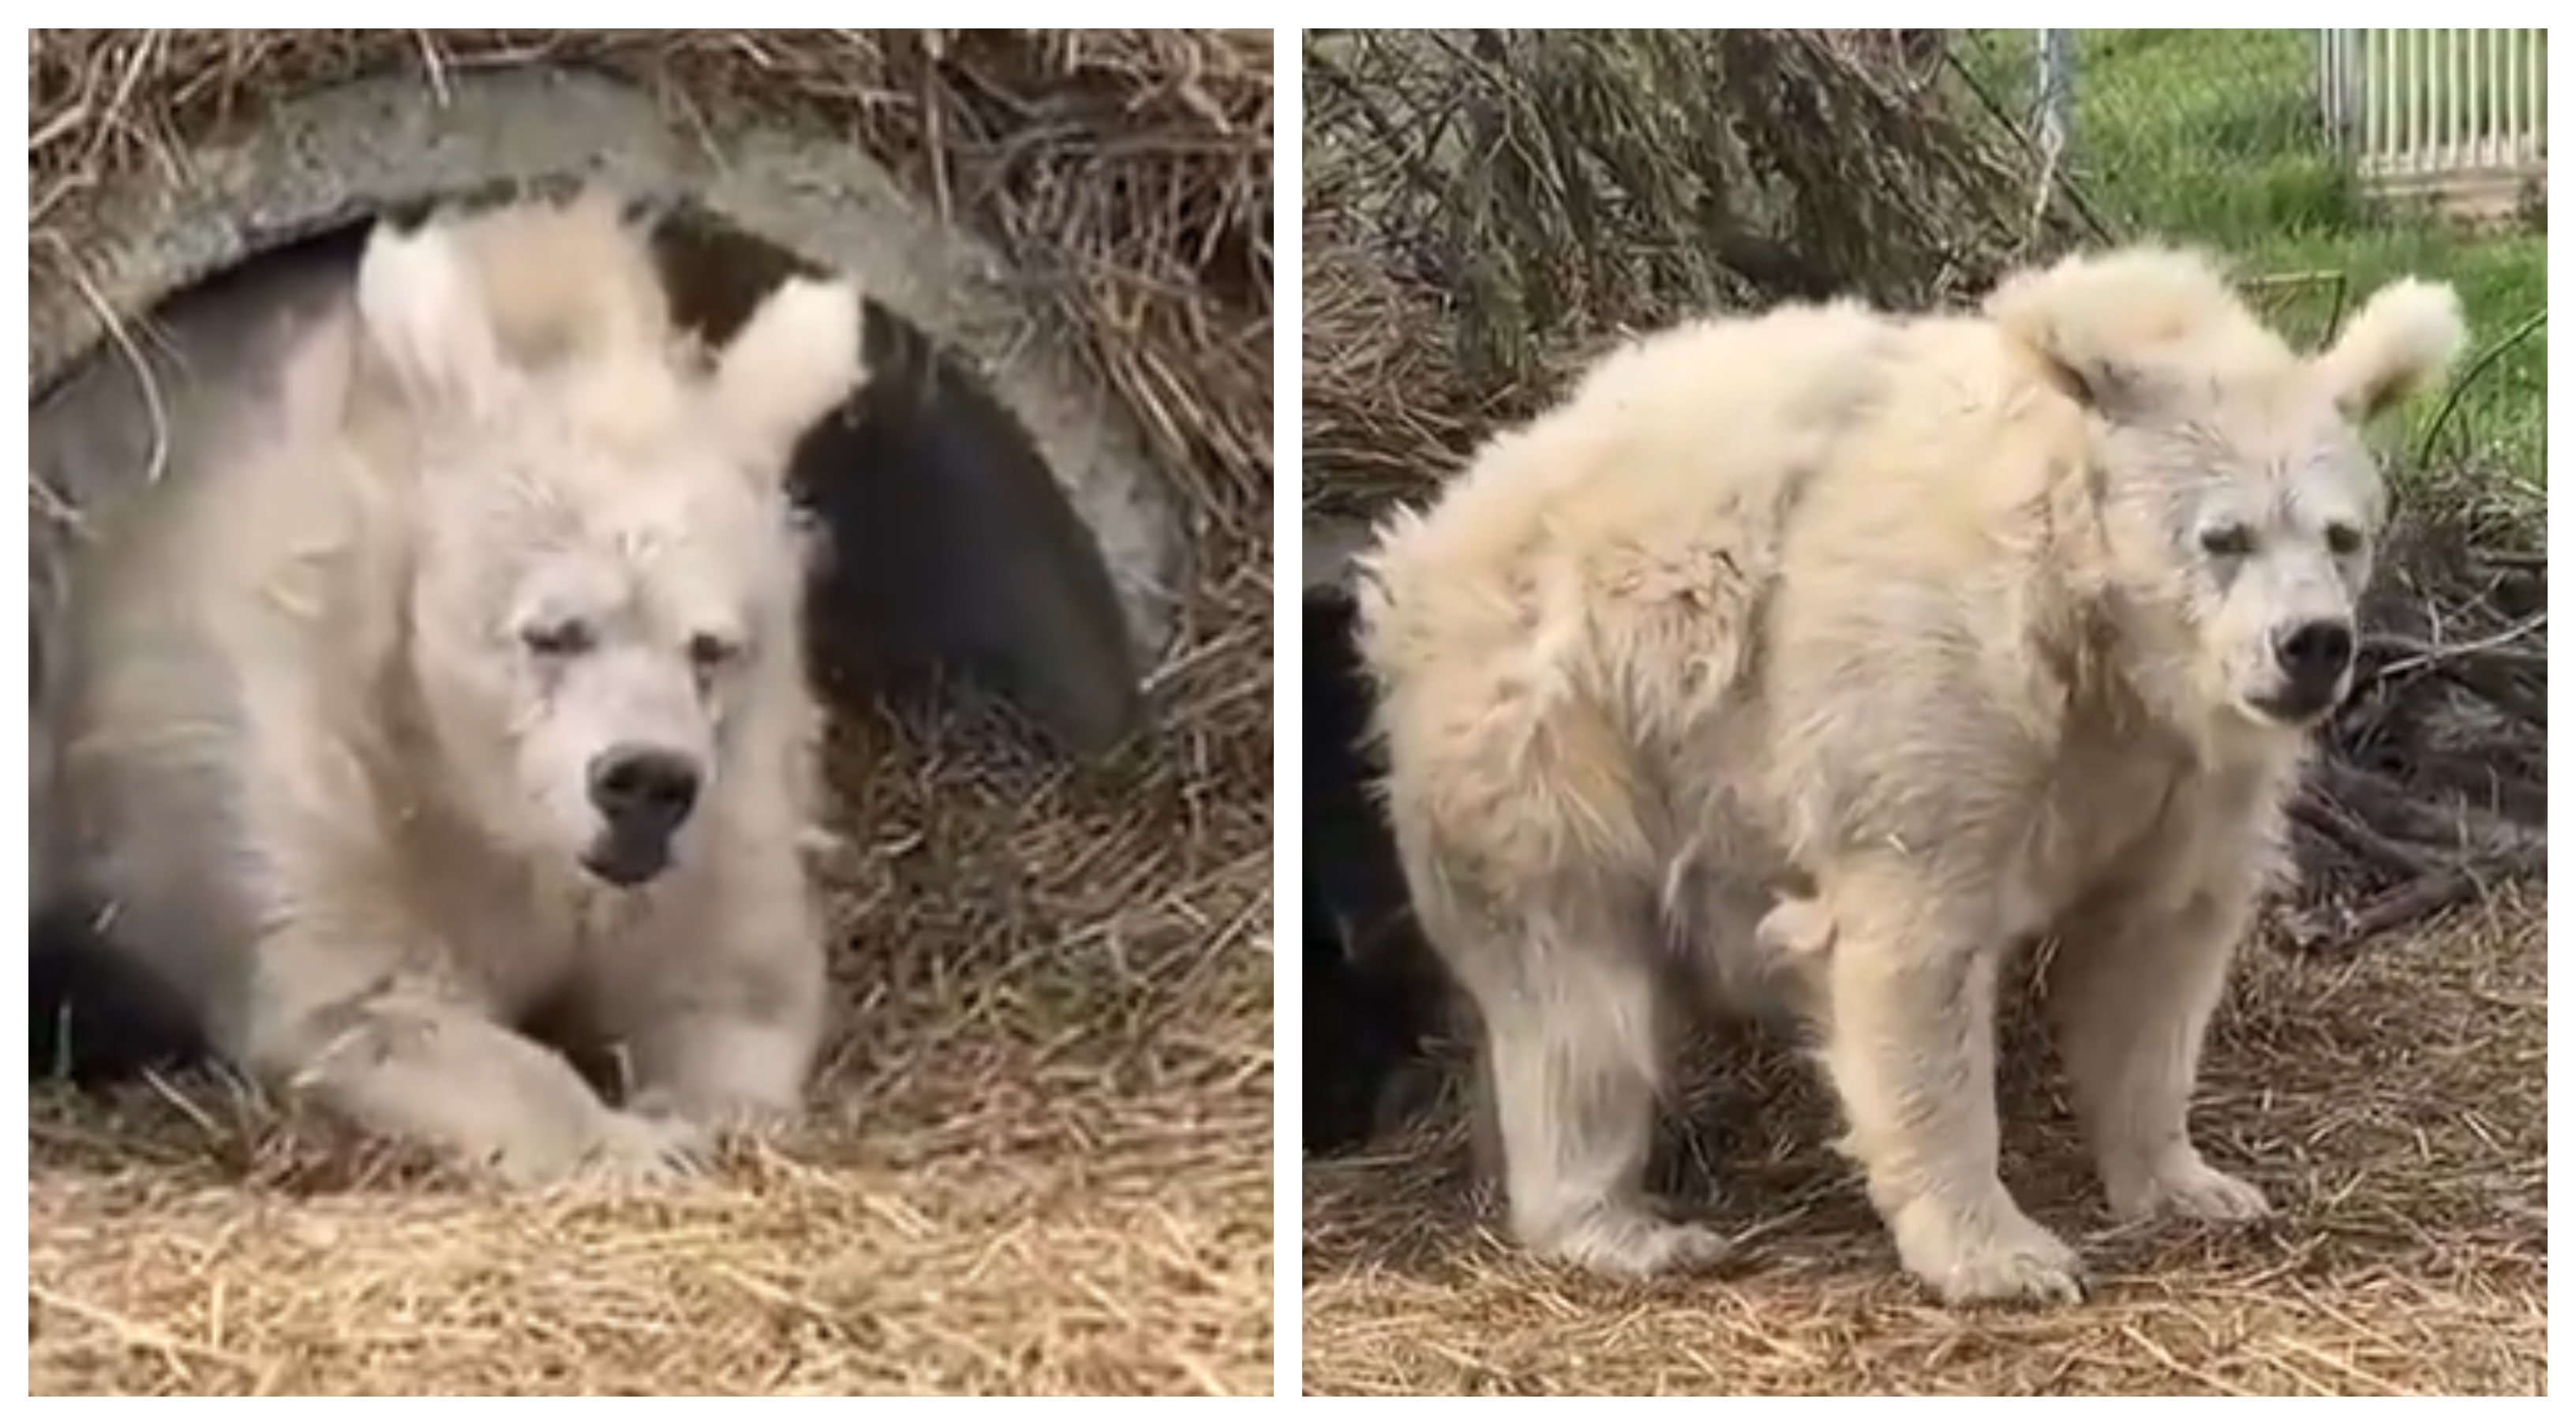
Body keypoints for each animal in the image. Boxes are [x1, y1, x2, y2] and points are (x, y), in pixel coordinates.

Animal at [31, 187, 868, 1185]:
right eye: (552, 632)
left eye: (710, 646)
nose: (645, 781)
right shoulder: (315, 770)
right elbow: (368, 1000)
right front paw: (633, 1141)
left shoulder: (733, 792)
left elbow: (735, 984)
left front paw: (697, 1115)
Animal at [1351, 243, 2467, 1305]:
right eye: (2223, 535)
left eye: (2342, 532)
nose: (2312, 644)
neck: (2097, 639)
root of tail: (1430, 534)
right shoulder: (1933, 691)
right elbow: (1913, 949)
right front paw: (2003, 1253)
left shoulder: (2176, 768)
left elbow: (2156, 951)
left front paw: (2194, 1184)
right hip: (1561, 729)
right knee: (1576, 993)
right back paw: (1624, 1225)